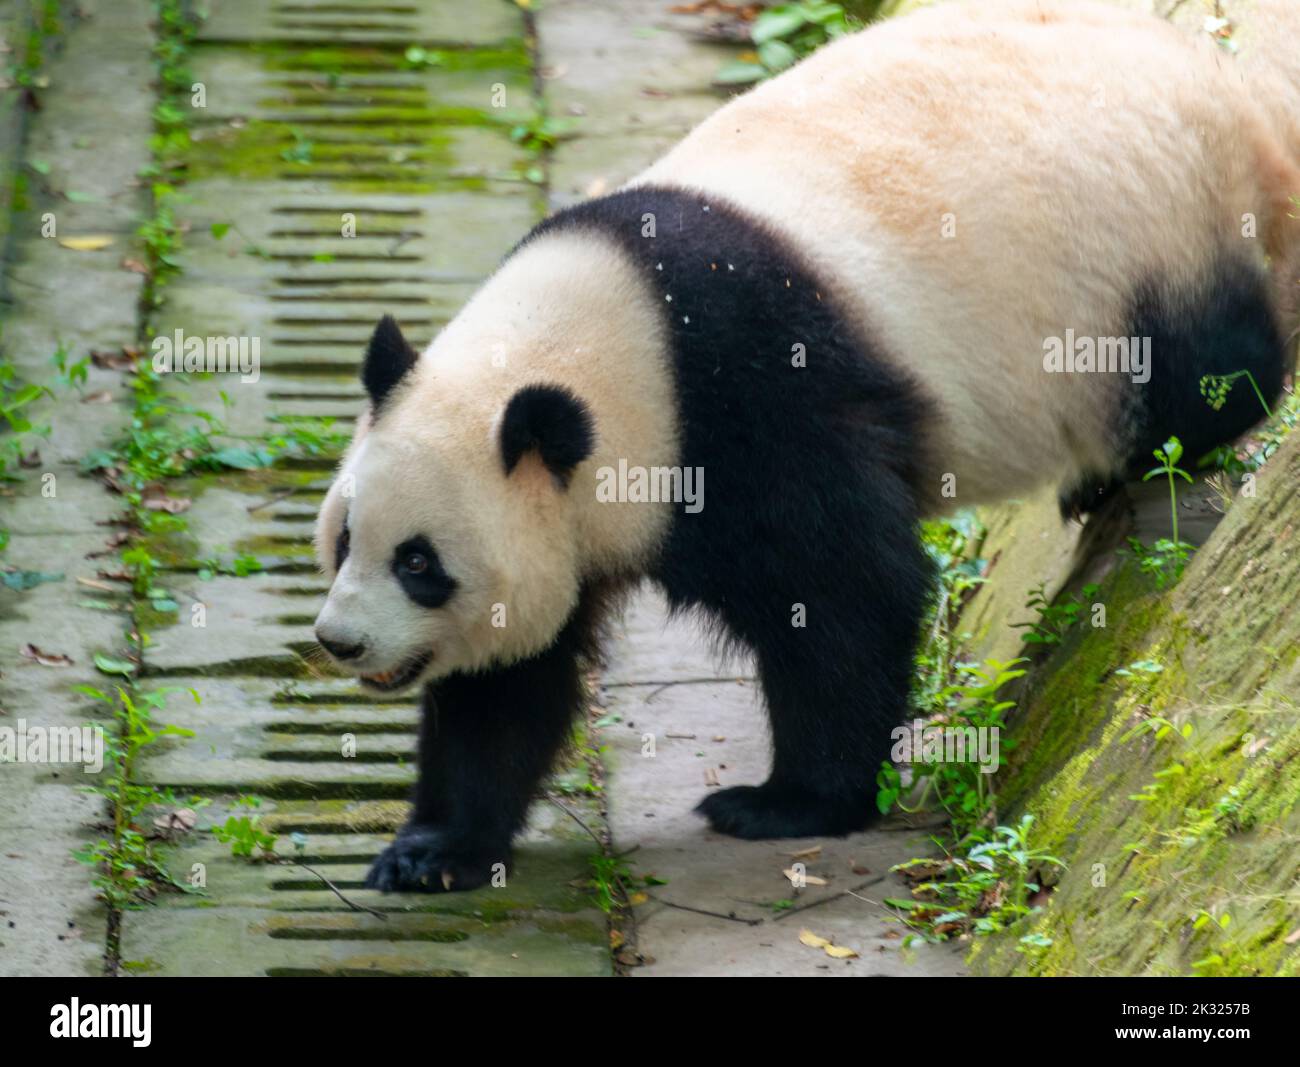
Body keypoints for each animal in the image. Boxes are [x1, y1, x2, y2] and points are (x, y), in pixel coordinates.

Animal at [313, 0, 1300, 892]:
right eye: (344, 539)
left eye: (419, 563)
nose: (339, 641)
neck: (610, 335)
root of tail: (1227, 79)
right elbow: (510, 676)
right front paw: (435, 851)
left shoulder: (750, 391)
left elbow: (843, 590)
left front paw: (786, 801)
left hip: (1145, 247)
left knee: (1202, 369)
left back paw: (1129, 462)